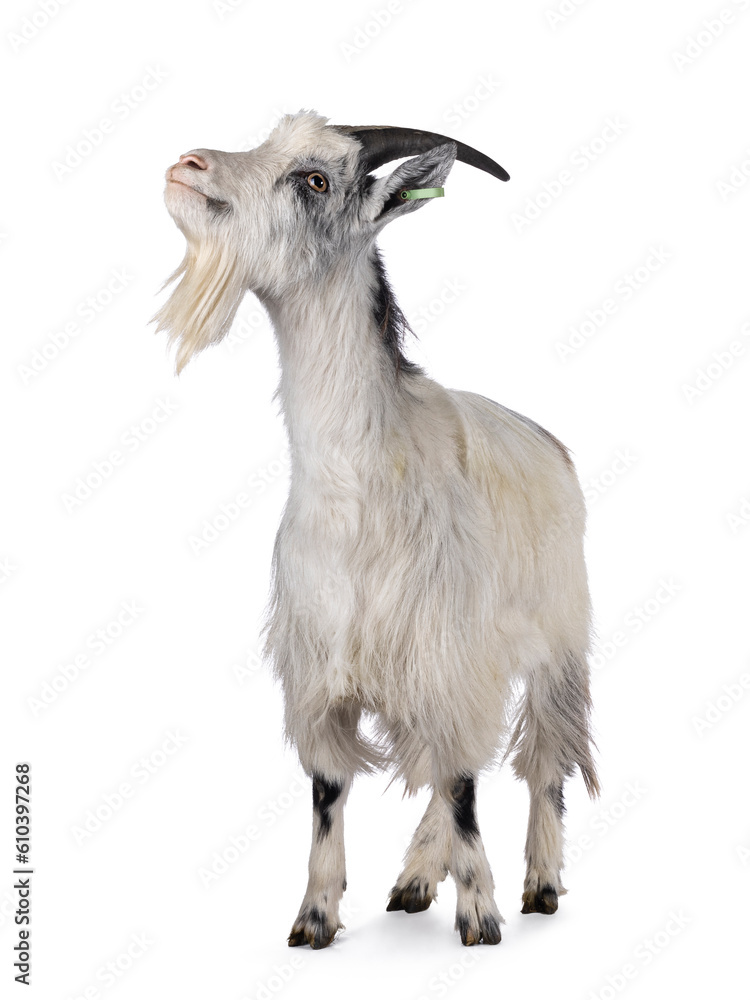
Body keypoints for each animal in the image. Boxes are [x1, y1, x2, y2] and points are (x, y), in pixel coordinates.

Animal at [155, 111, 600, 949]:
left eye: (315, 178)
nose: (187, 164)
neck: (358, 495)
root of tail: (550, 442)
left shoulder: (450, 654)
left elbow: (463, 787)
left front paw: (482, 917)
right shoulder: (325, 670)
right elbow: (333, 793)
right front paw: (314, 919)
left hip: (557, 638)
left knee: (542, 762)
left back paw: (540, 885)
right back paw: (415, 880)